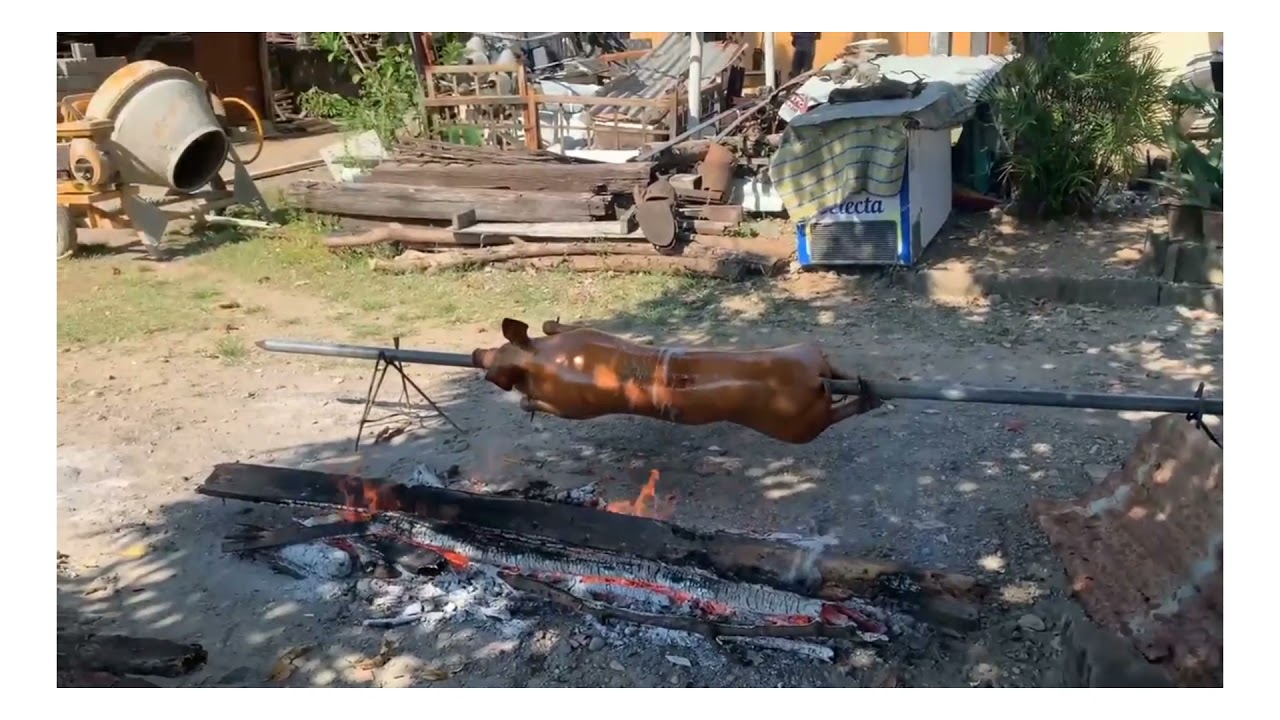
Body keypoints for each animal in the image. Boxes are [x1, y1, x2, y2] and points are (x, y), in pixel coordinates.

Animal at [470, 318, 881, 444]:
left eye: (498, 357)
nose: (476, 354)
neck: (538, 360)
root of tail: (817, 378)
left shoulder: (570, 404)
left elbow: (536, 402)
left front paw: (525, 402)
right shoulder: (585, 338)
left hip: (794, 424)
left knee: (831, 415)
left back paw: (868, 394)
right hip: (809, 356)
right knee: (838, 377)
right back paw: (868, 390)